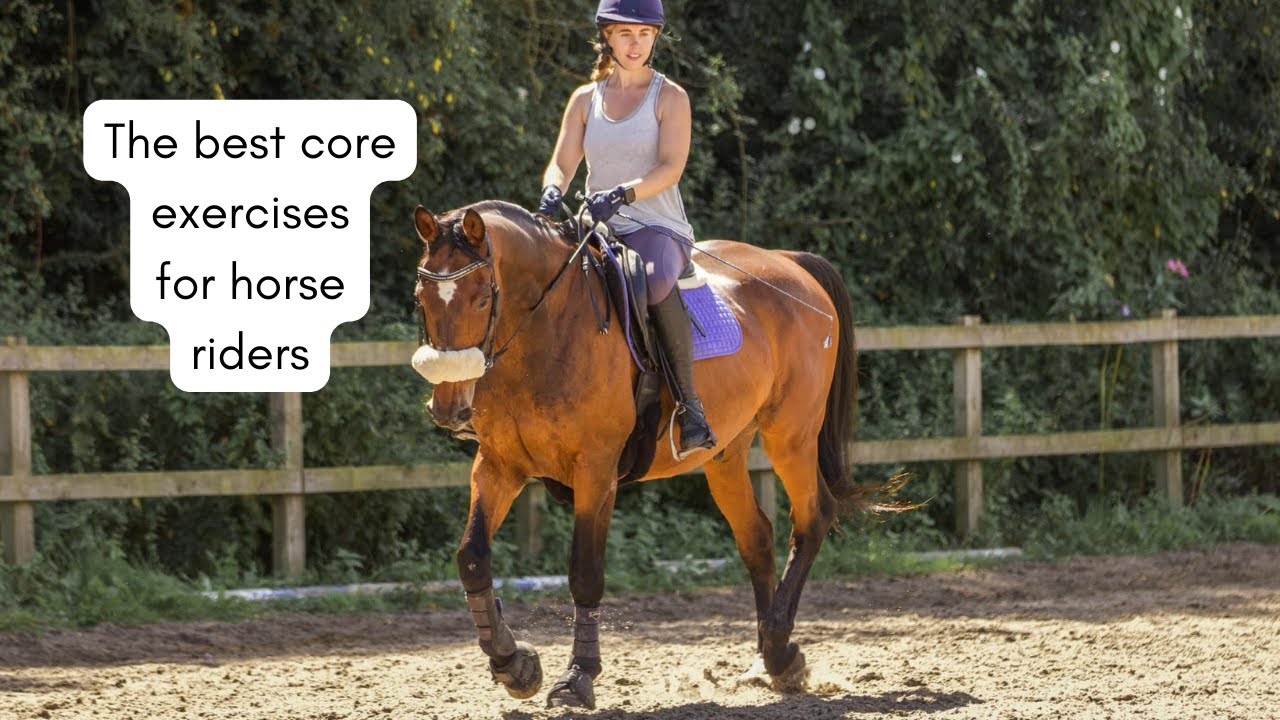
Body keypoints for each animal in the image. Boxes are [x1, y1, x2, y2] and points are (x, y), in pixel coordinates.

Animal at [410, 199, 869, 709]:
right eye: (422, 298)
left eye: (480, 299)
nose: (448, 409)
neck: (547, 332)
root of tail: (789, 261)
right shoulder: (498, 465)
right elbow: (471, 557)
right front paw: (514, 664)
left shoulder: (596, 472)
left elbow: (585, 573)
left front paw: (578, 677)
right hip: (727, 454)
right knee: (757, 537)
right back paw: (775, 656)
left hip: (790, 435)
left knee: (812, 517)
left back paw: (778, 645)